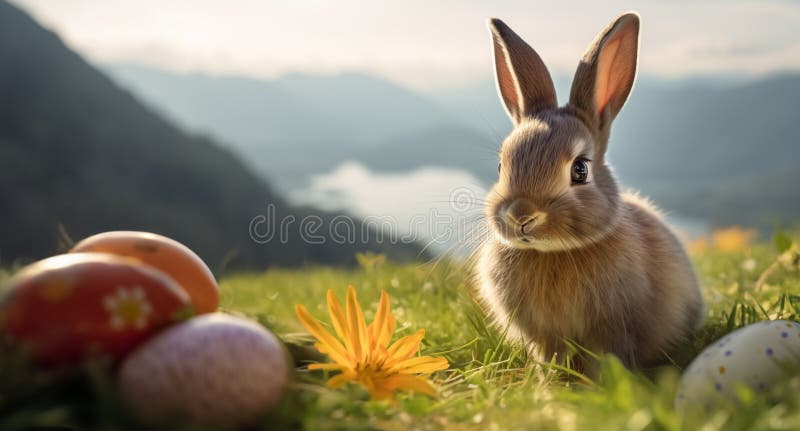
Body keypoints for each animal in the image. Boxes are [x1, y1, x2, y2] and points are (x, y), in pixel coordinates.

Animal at [475, 12, 703, 371]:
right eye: (501, 166)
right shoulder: (544, 336)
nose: (521, 216)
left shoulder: (614, 328)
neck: (553, 252)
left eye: (580, 169)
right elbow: (550, 354)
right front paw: (547, 379)